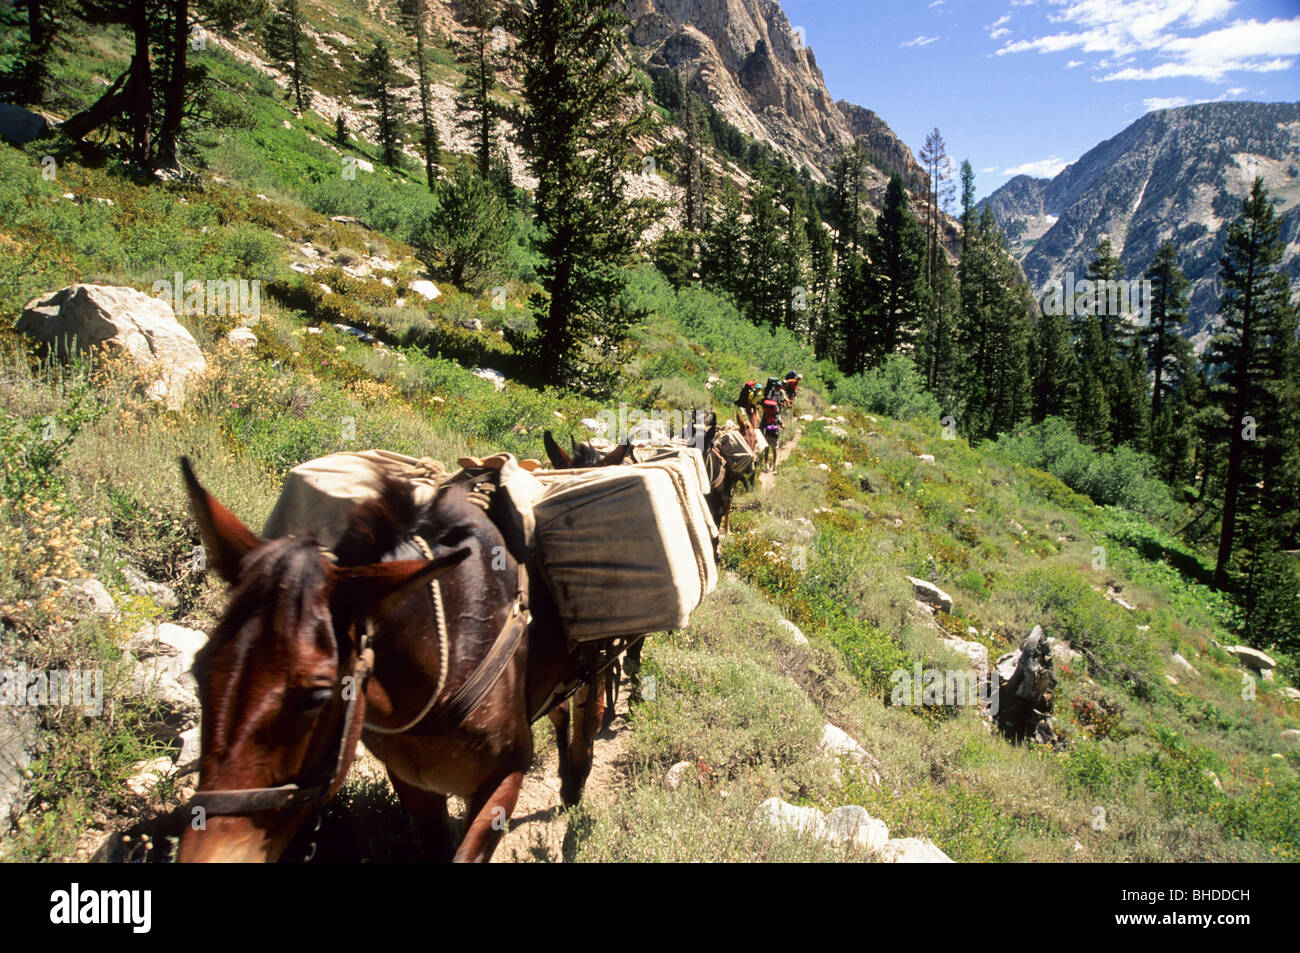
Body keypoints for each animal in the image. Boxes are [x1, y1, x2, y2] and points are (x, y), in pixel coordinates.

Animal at [176, 456, 612, 863]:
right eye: (199, 672)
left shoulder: (507, 777)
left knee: (587, 710)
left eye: (317, 696)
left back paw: (575, 782)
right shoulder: (412, 783)